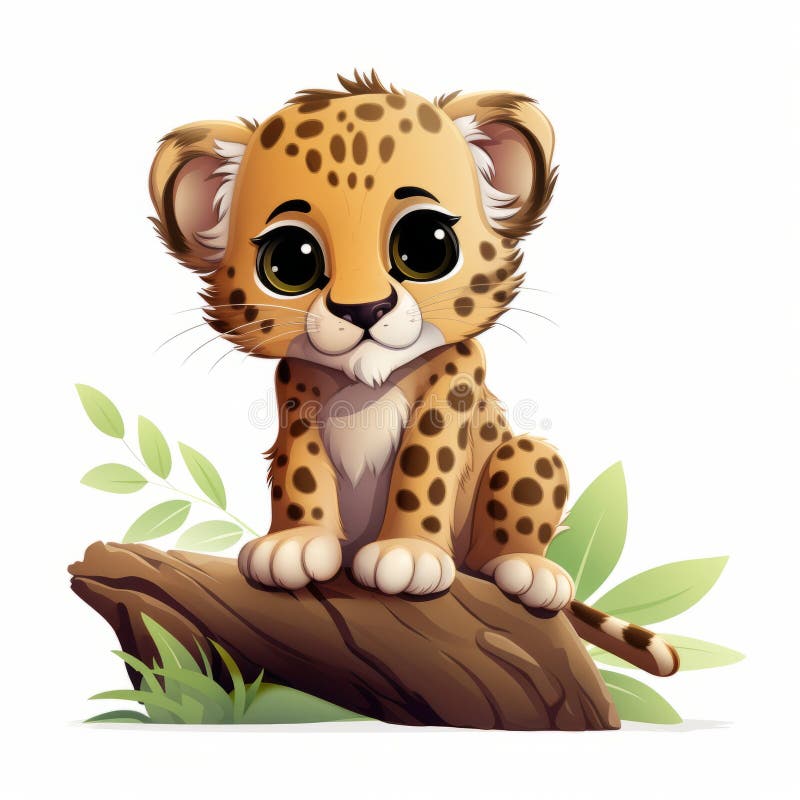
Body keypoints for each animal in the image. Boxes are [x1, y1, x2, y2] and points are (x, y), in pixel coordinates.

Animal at [149, 71, 678, 677]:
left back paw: (528, 569)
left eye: (426, 245)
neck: (366, 381)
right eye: (290, 261)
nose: (363, 309)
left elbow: (424, 469)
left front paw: (409, 553)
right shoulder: (295, 398)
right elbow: (299, 473)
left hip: (528, 459)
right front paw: (296, 541)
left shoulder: (452, 393)